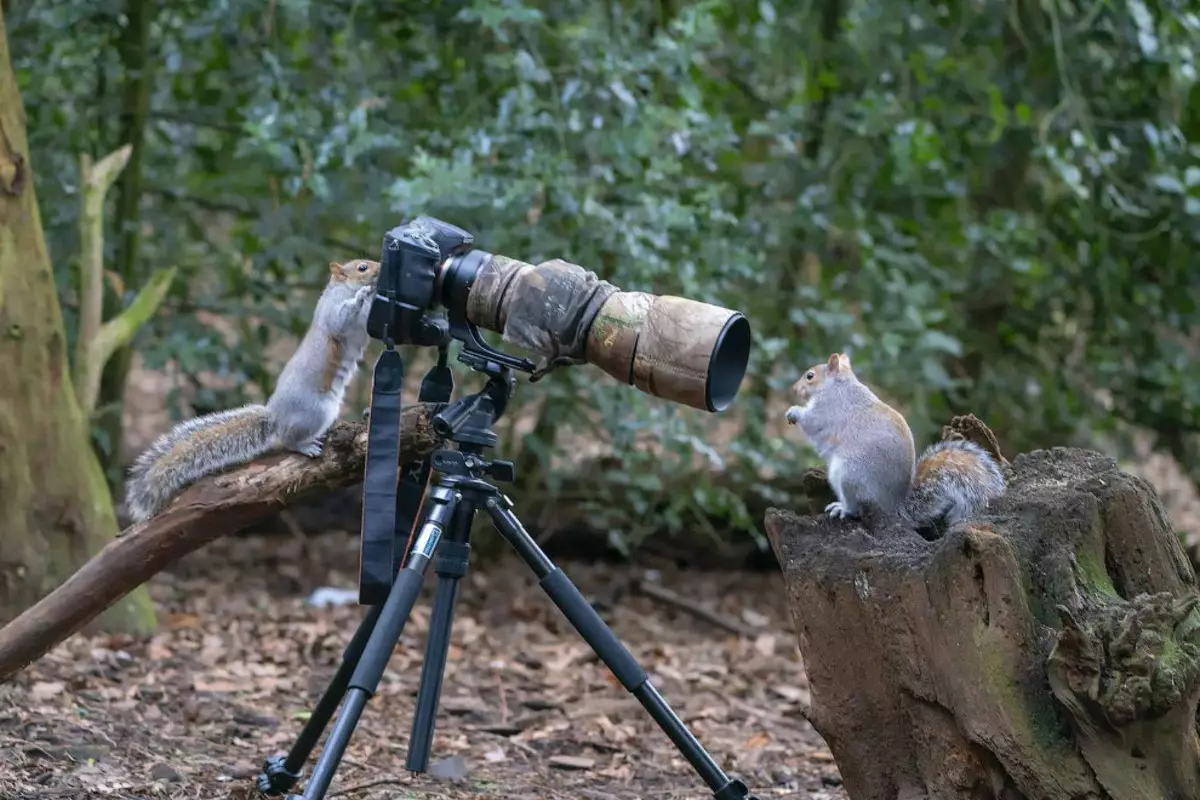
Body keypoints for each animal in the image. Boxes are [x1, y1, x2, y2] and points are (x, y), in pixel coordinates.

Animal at [126, 260, 379, 522]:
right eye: (362, 267)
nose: (379, 267)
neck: (343, 288)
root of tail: (275, 416)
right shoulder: (332, 313)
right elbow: (341, 319)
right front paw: (364, 294)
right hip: (318, 411)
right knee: (288, 439)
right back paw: (305, 445)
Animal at [782, 352, 1008, 527]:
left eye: (810, 376)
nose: (793, 388)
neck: (838, 384)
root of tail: (894, 506)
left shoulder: (827, 407)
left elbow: (811, 421)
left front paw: (794, 411)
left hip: (848, 474)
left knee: (856, 506)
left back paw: (843, 508)